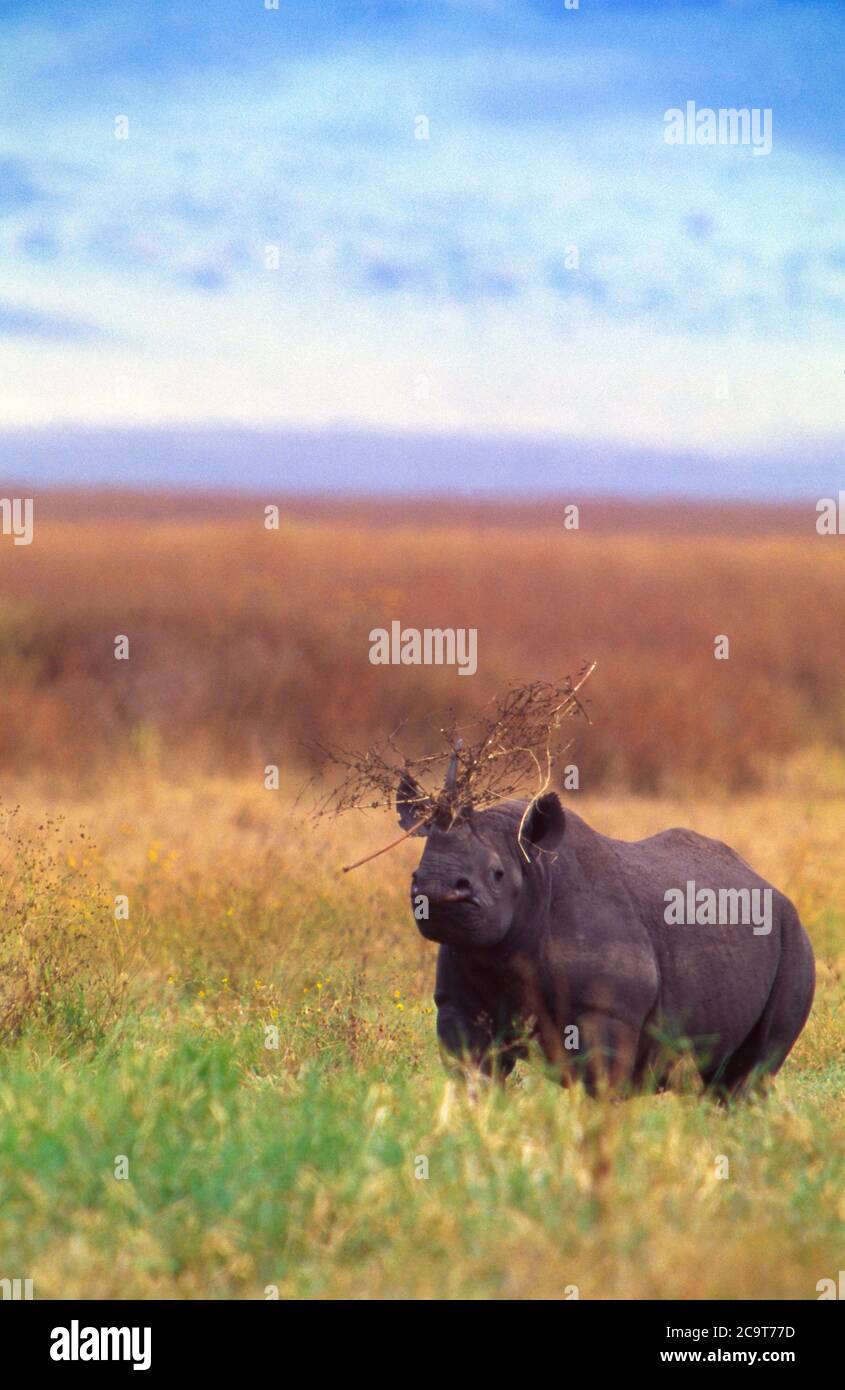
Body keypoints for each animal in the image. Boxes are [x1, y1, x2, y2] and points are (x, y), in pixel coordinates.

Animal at [397, 759, 815, 1097]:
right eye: (415, 872)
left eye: (497, 875)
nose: (436, 888)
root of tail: (765, 882)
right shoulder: (459, 1000)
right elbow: (473, 1076)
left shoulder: (607, 1010)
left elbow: (599, 1084)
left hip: (792, 933)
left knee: (750, 1074)